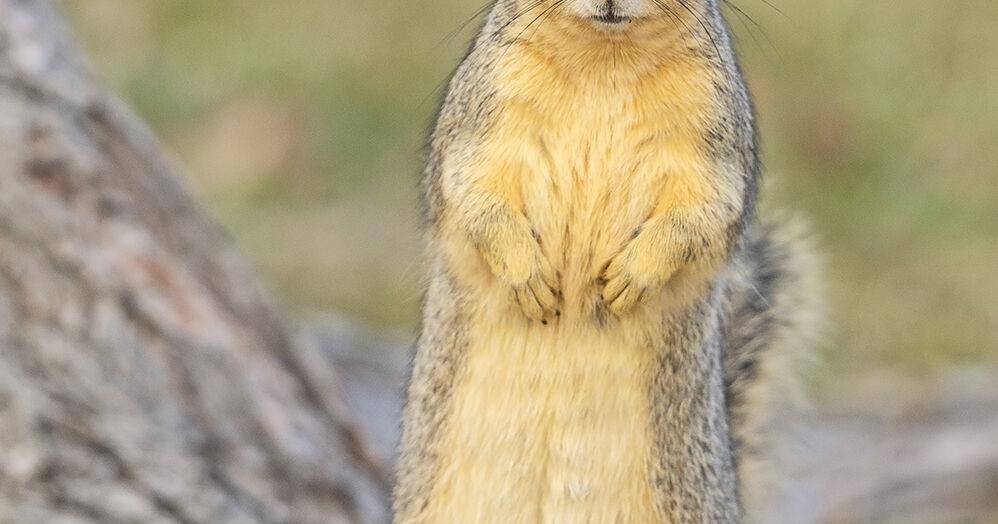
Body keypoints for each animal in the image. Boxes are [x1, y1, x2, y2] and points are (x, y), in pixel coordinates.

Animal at [395, 0, 822, 522]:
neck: (605, 61)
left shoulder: (714, 145)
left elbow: (701, 215)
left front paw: (632, 277)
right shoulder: (481, 117)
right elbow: (475, 197)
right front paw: (528, 276)